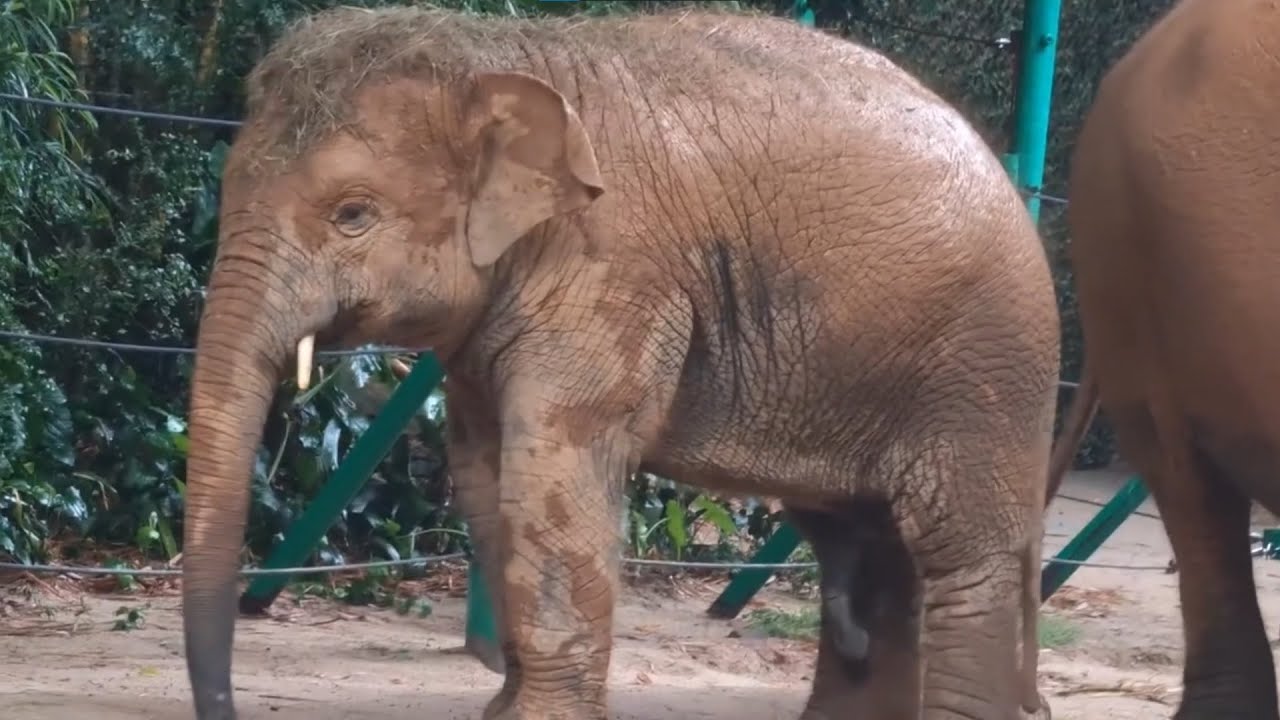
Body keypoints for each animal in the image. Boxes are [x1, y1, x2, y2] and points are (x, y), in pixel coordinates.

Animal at [180, 5, 1060, 720]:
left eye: (353, 214)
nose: (229, 706)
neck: (493, 57)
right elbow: (485, 475)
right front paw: (507, 708)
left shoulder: (615, 272)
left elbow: (552, 472)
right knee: (868, 543)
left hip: (986, 365)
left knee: (959, 551)